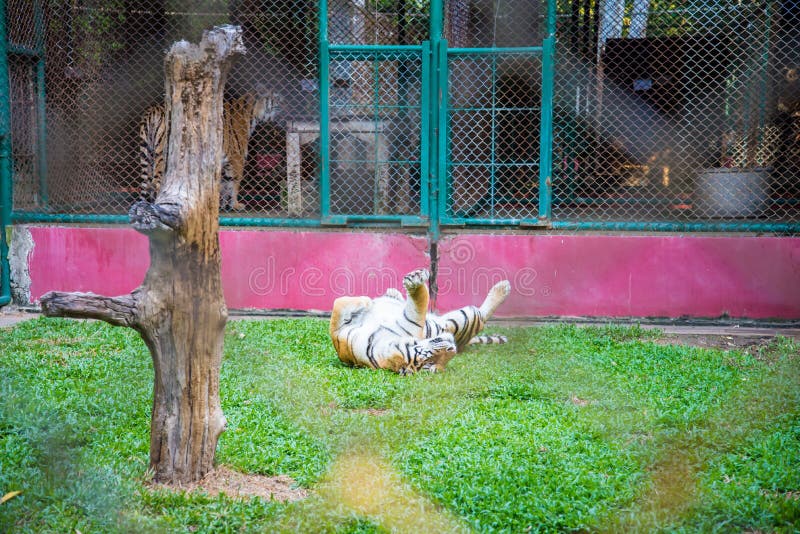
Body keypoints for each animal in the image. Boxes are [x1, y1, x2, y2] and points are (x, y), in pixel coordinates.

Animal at [138, 89, 283, 209]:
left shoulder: (224, 162)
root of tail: (153, 109)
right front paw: (235, 205)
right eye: (276, 98)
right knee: (156, 183)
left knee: (148, 184)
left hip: (148, 153)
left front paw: (221, 206)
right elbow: (235, 183)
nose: (284, 105)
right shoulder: (237, 158)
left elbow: (224, 184)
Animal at [330, 268, 511, 375]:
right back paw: (503, 287)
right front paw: (367, 302)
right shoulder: (338, 333)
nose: (452, 349)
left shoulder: (412, 324)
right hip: (463, 319)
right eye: (430, 360)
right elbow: (338, 308)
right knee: (482, 317)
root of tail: (462, 342)